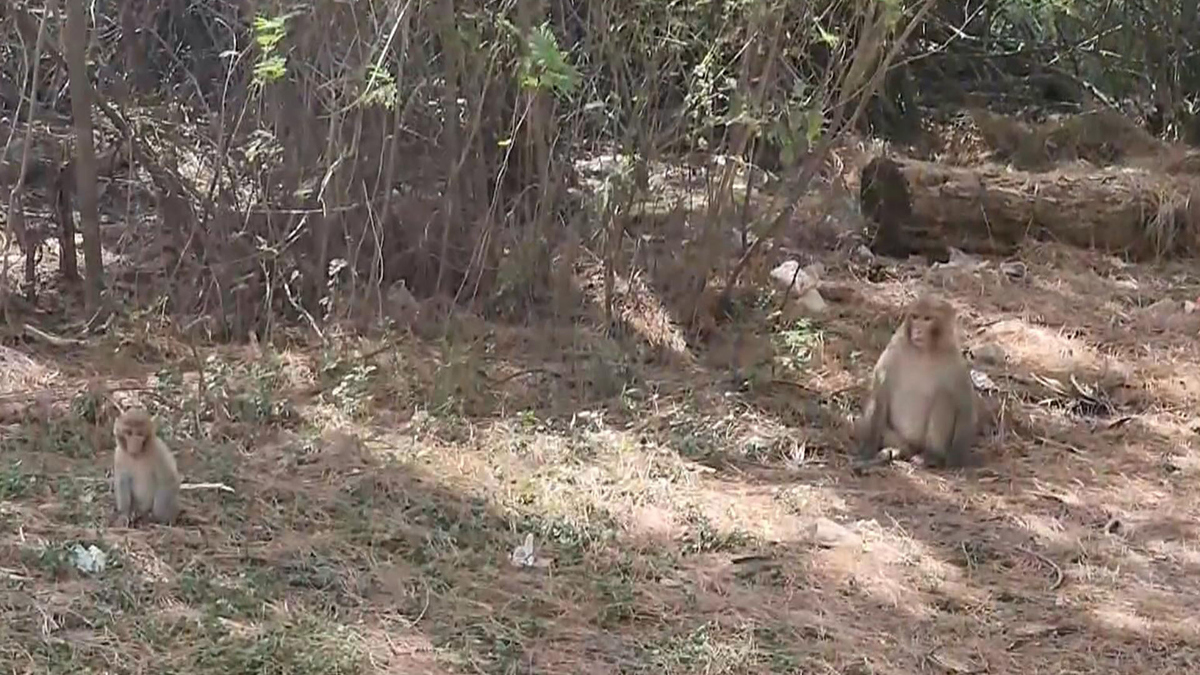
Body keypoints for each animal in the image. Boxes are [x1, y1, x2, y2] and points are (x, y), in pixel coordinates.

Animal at [853, 294, 979, 470]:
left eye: (927, 319)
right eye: (915, 316)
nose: (918, 330)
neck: (924, 352)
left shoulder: (955, 364)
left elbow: (964, 405)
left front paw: (956, 457)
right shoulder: (895, 349)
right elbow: (880, 388)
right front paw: (869, 447)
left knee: (944, 397)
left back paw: (930, 456)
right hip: (895, 435)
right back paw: (897, 450)